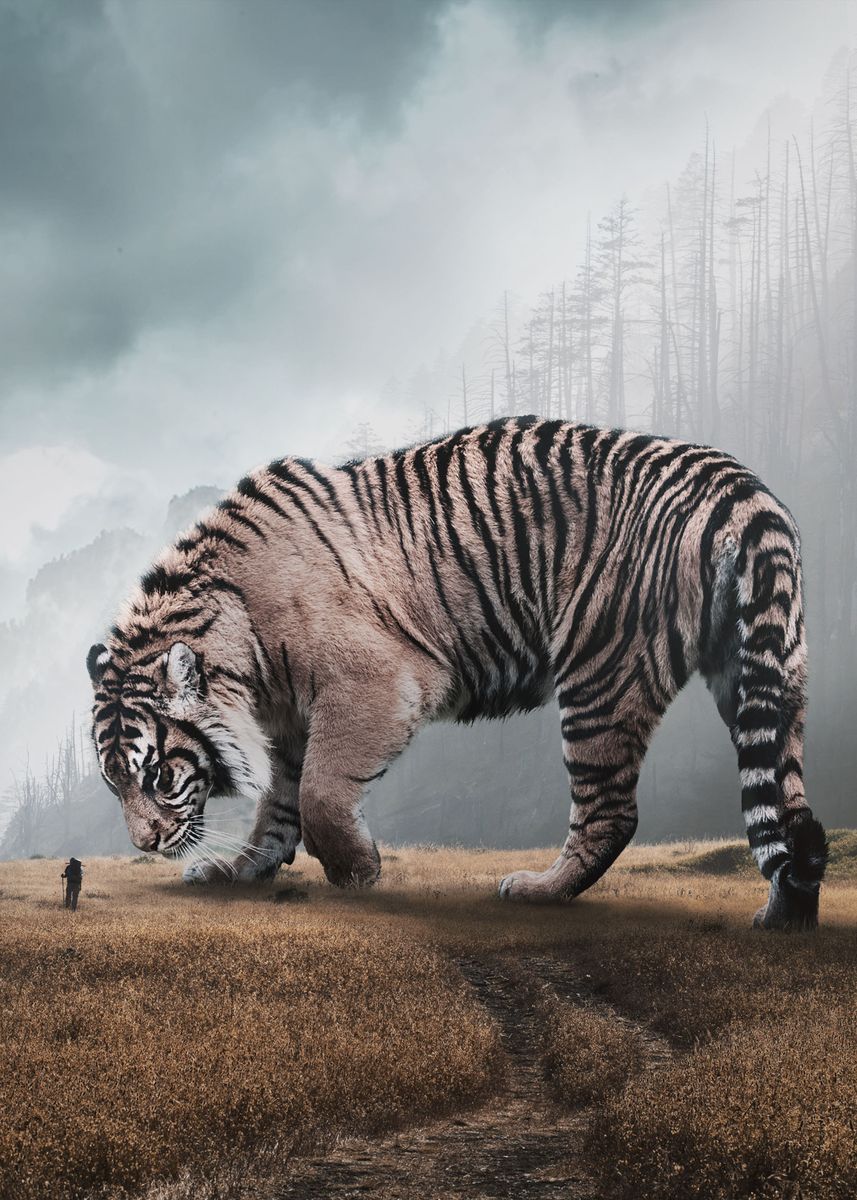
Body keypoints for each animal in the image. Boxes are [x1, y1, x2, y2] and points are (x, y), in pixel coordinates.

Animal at [87, 416, 828, 929]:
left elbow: (320, 792)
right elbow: (278, 804)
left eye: (158, 776)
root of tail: (739, 488)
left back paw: (538, 890)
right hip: (766, 675)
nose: (145, 843)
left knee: (611, 812)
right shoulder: (289, 722)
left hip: (600, 674)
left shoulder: (375, 682)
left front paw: (357, 871)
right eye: (114, 782)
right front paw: (239, 870)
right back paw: (783, 915)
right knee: (788, 809)